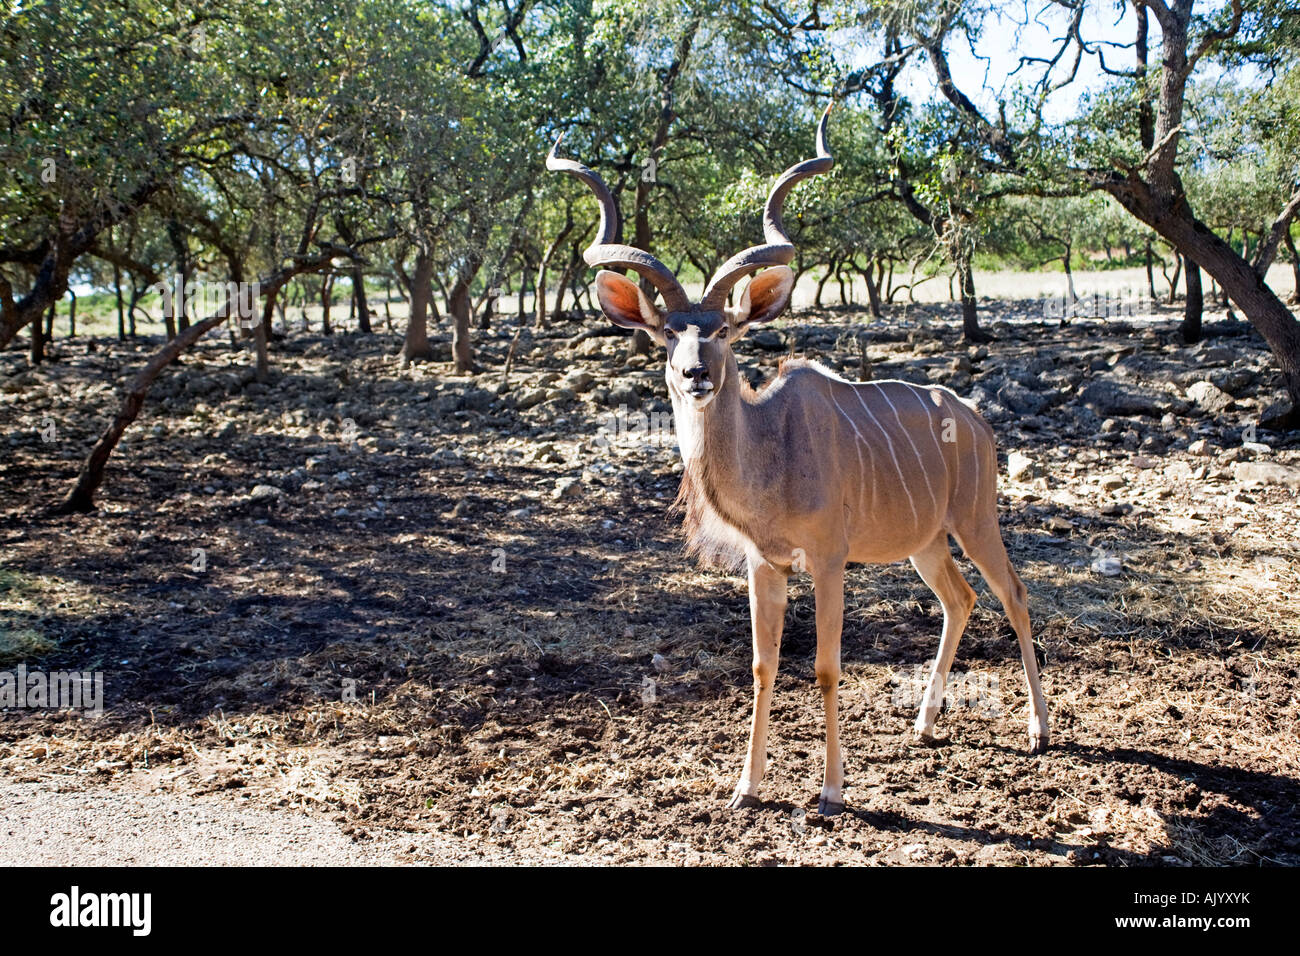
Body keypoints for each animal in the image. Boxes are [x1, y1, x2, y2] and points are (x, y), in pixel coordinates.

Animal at [547, 108, 1048, 815]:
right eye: (667, 331)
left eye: (724, 330)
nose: (696, 374)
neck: (771, 452)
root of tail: (975, 420)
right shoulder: (767, 563)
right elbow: (764, 665)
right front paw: (746, 787)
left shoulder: (830, 560)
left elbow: (826, 666)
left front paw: (833, 789)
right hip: (925, 543)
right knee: (961, 599)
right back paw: (924, 725)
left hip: (975, 522)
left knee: (1014, 595)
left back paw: (1038, 730)